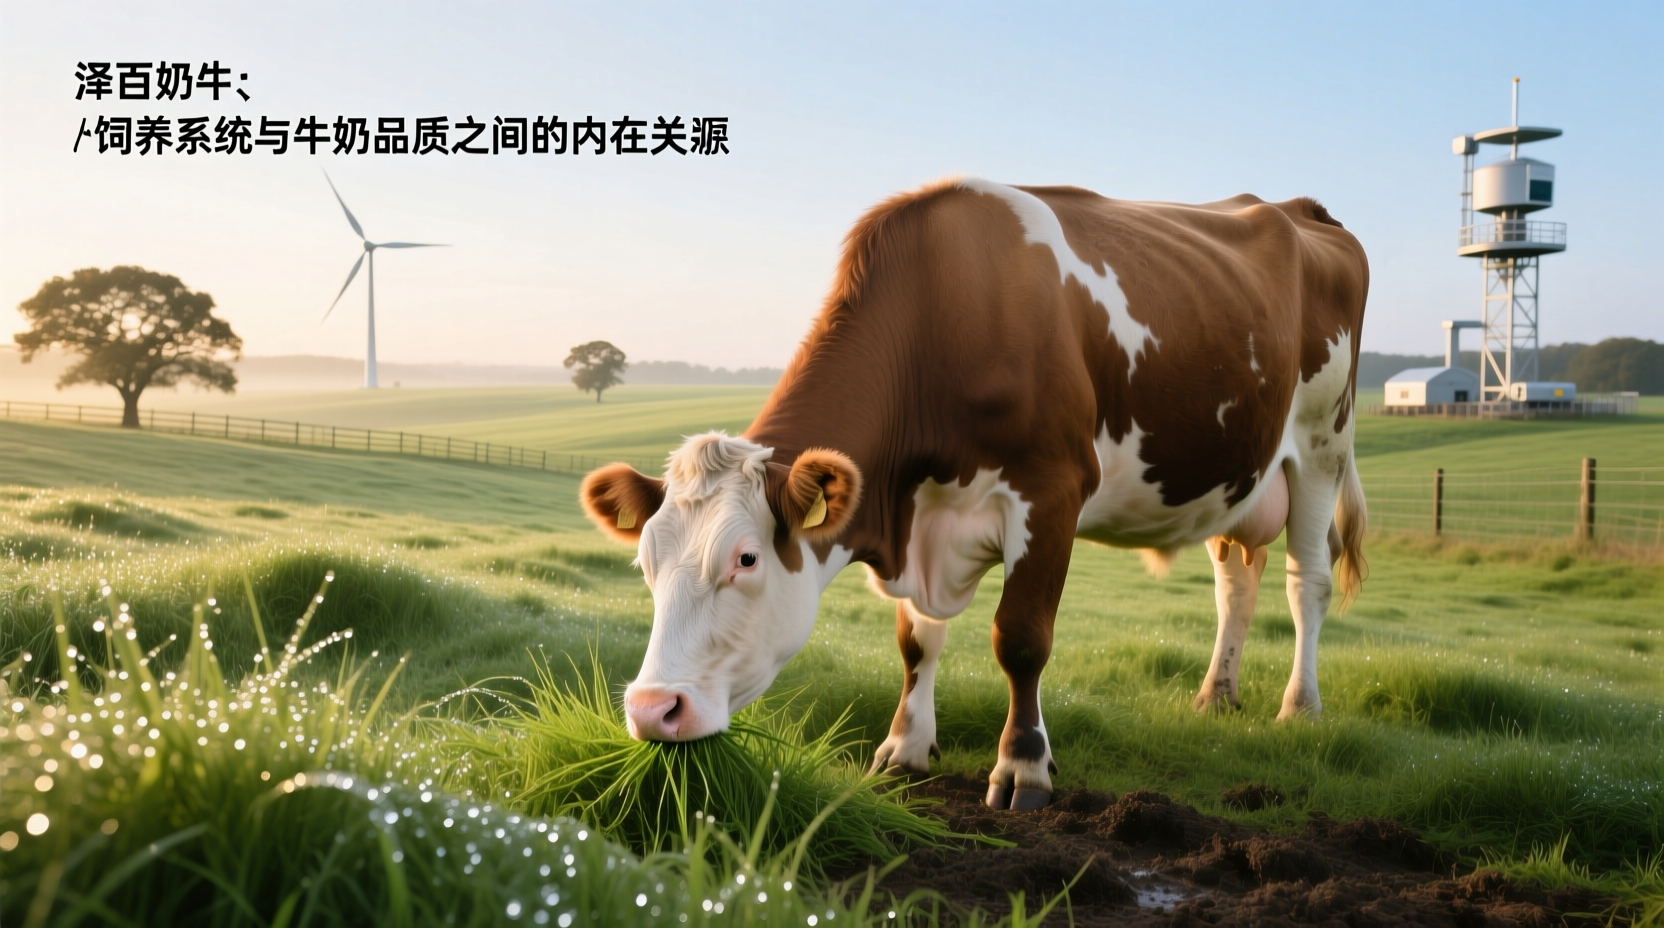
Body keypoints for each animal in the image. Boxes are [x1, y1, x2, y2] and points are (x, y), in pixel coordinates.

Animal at [580, 178, 1368, 811]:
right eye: (644, 563)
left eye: (745, 559)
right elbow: (915, 641)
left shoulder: (1052, 490)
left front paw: (1023, 769)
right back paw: (1216, 696)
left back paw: (1299, 708)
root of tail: (1298, 208)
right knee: (1236, 585)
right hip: (1237, 475)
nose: (652, 711)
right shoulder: (916, 514)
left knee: (1306, 583)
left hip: (1321, 445)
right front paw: (904, 748)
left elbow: (1020, 639)